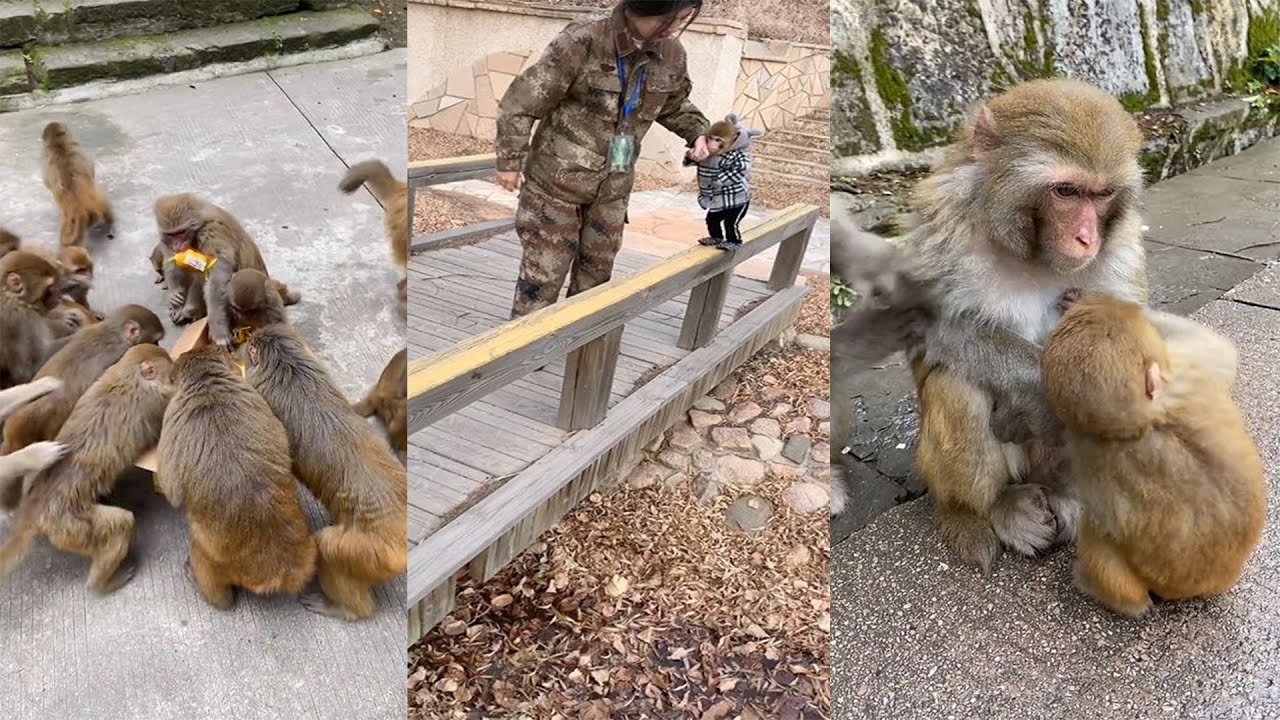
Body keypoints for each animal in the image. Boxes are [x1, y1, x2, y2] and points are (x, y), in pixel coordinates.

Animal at [0, 345, 174, 593]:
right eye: (170, 370)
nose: (174, 371)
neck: (128, 376)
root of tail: (33, 511)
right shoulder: (155, 401)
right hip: (70, 526)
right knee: (120, 524)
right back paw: (102, 584)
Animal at [153, 193, 300, 349]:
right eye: (171, 234)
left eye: (181, 232)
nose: (177, 244)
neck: (198, 226)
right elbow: (172, 259)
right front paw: (175, 296)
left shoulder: (211, 234)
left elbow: (217, 280)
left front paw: (219, 333)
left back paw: (190, 310)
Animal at [155, 344, 318, 610]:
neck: (206, 382)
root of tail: (278, 569)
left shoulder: (173, 415)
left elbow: (172, 489)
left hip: (214, 561)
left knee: (220, 593)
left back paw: (200, 581)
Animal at [884, 79, 1150, 570]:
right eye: (1066, 191)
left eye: (1102, 194)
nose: (1086, 238)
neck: (1030, 250)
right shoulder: (941, 217)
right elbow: (934, 326)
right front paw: (1041, 396)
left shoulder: (1122, 240)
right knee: (958, 386)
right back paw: (990, 508)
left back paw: (1067, 497)